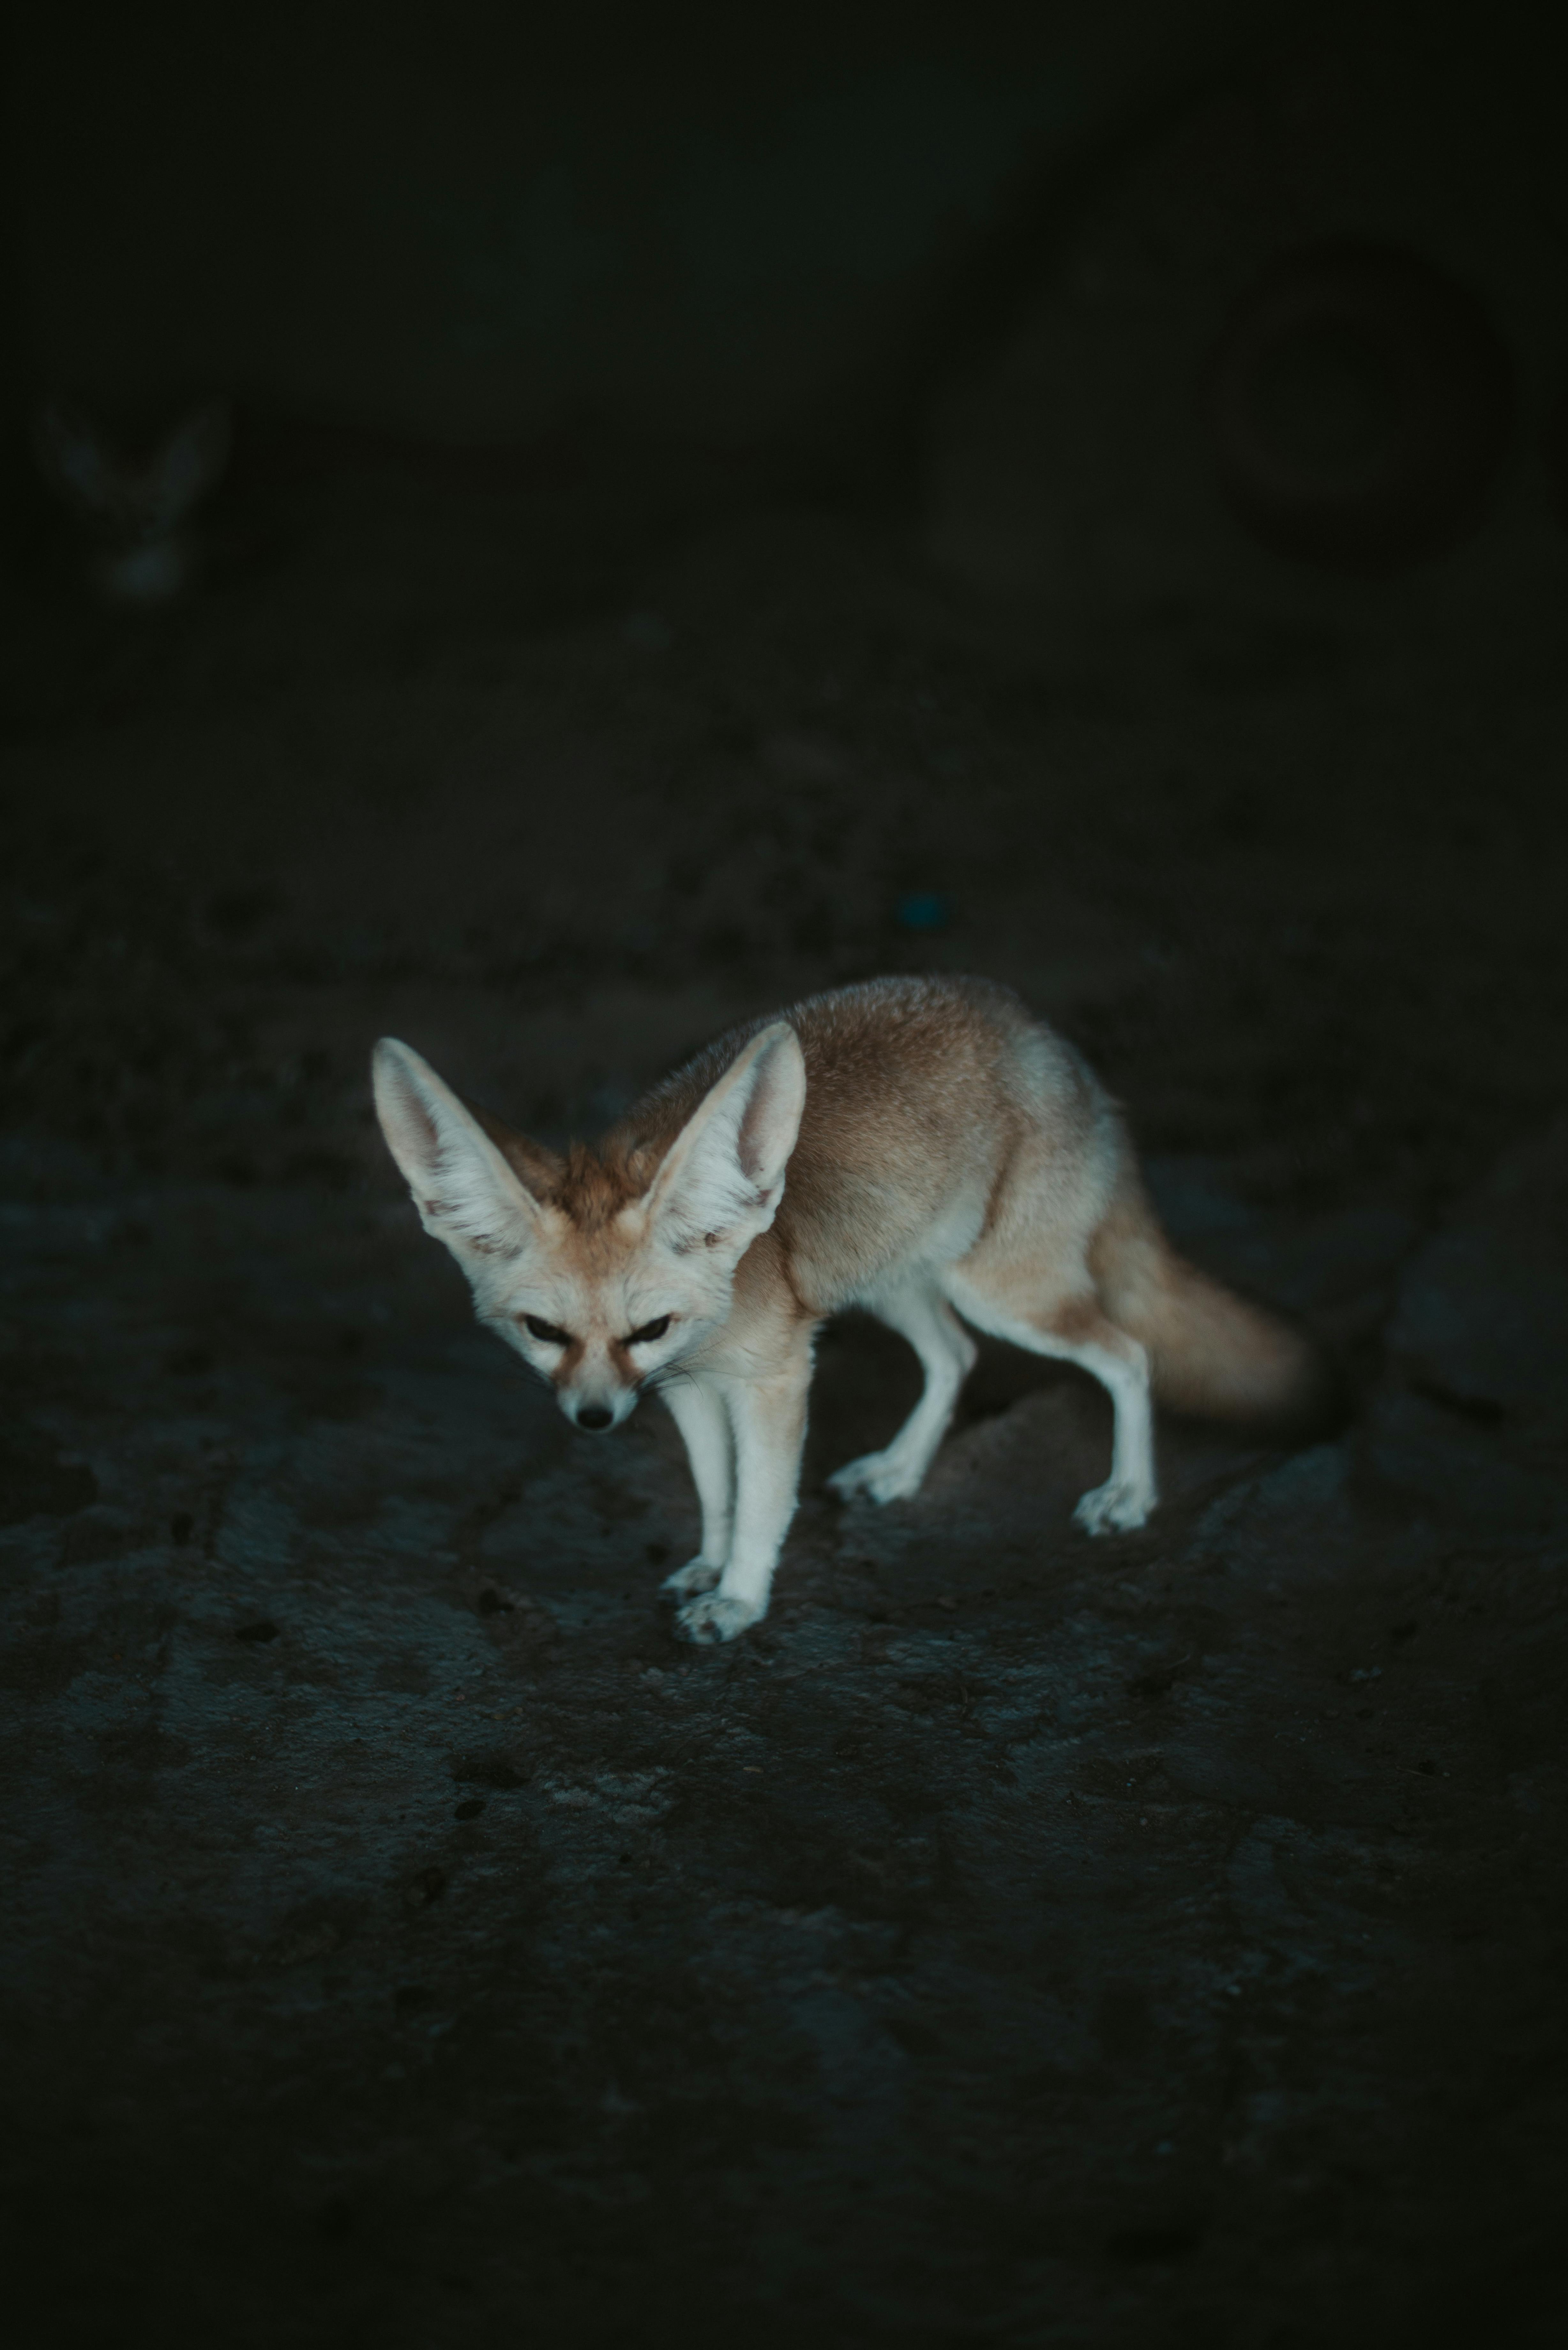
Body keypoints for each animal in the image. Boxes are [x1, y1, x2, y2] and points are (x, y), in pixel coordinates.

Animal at [372, 976, 1329, 1644]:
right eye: (544, 1333)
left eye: (649, 1328)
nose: (594, 1420)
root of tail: (1060, 1049)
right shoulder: (687, 1387)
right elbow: (715, 1492)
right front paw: (709, 1565)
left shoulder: (772, 1379)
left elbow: (762, 1500)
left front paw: (740, 1598)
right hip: (898, 1284)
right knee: (955, 1358)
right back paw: (900, 1470)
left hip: (1002, 1293)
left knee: (1127, 1354)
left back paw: (1129, 1493)